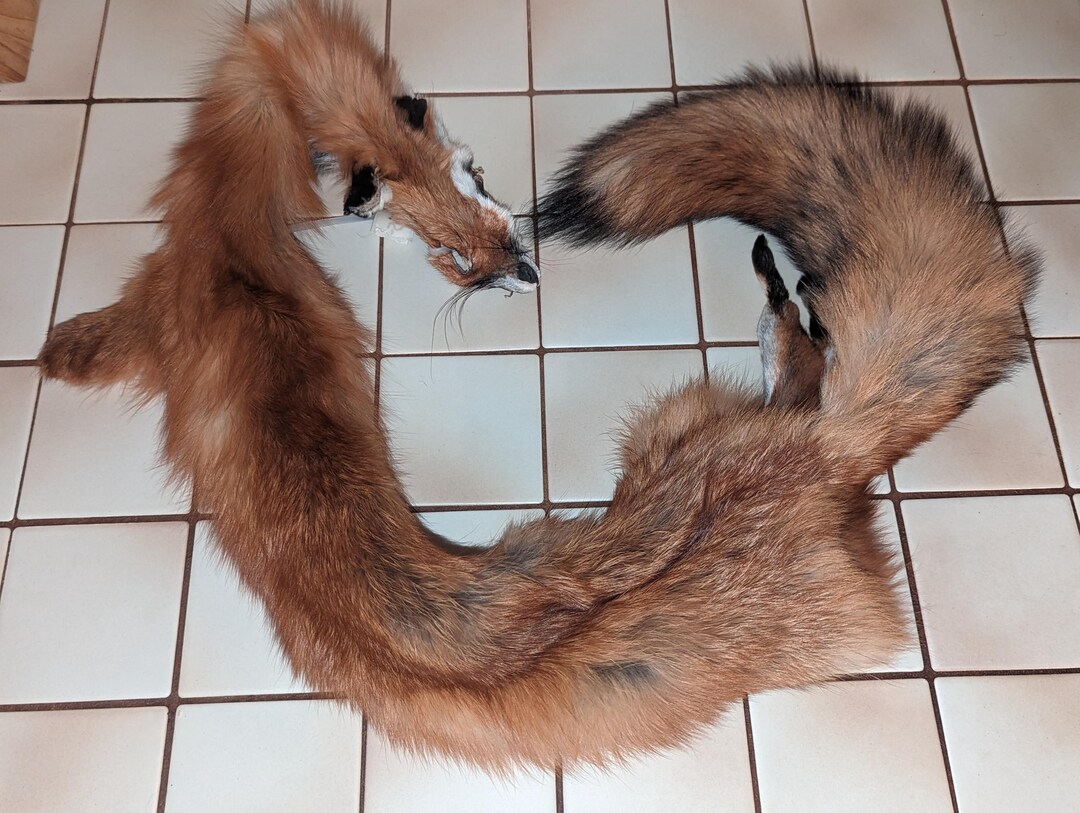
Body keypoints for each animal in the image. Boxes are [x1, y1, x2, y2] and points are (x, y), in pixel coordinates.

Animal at [36, 0, 1038, 771]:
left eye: (479, 188)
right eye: (454, 245)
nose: (522, 270)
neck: (239, 272)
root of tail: (825, 446)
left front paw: (60, 350)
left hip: (740, 520)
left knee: (799, 354)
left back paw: (778, 286)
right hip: (677, 424)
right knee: (799, 354)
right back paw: (782, 292)